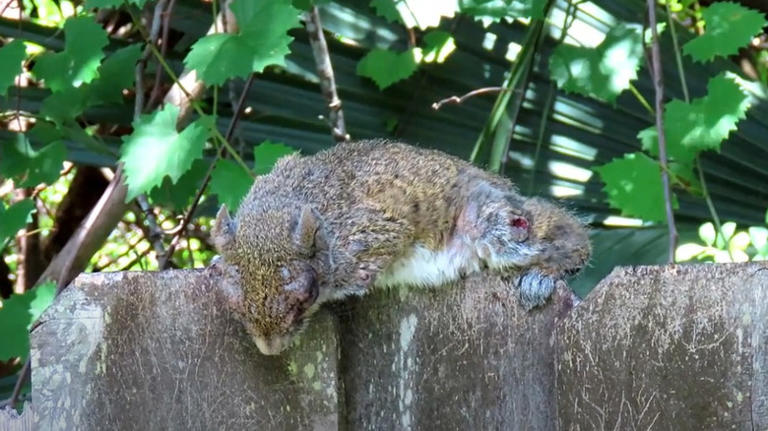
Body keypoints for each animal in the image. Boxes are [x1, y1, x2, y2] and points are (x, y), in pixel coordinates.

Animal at [212, 140, 590, 355]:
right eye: (232, 302)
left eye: (305, 297)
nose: (270, 348)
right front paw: (215, 259)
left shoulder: (369, 236)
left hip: (500, 226)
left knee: (566, 239)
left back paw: (543, 275)